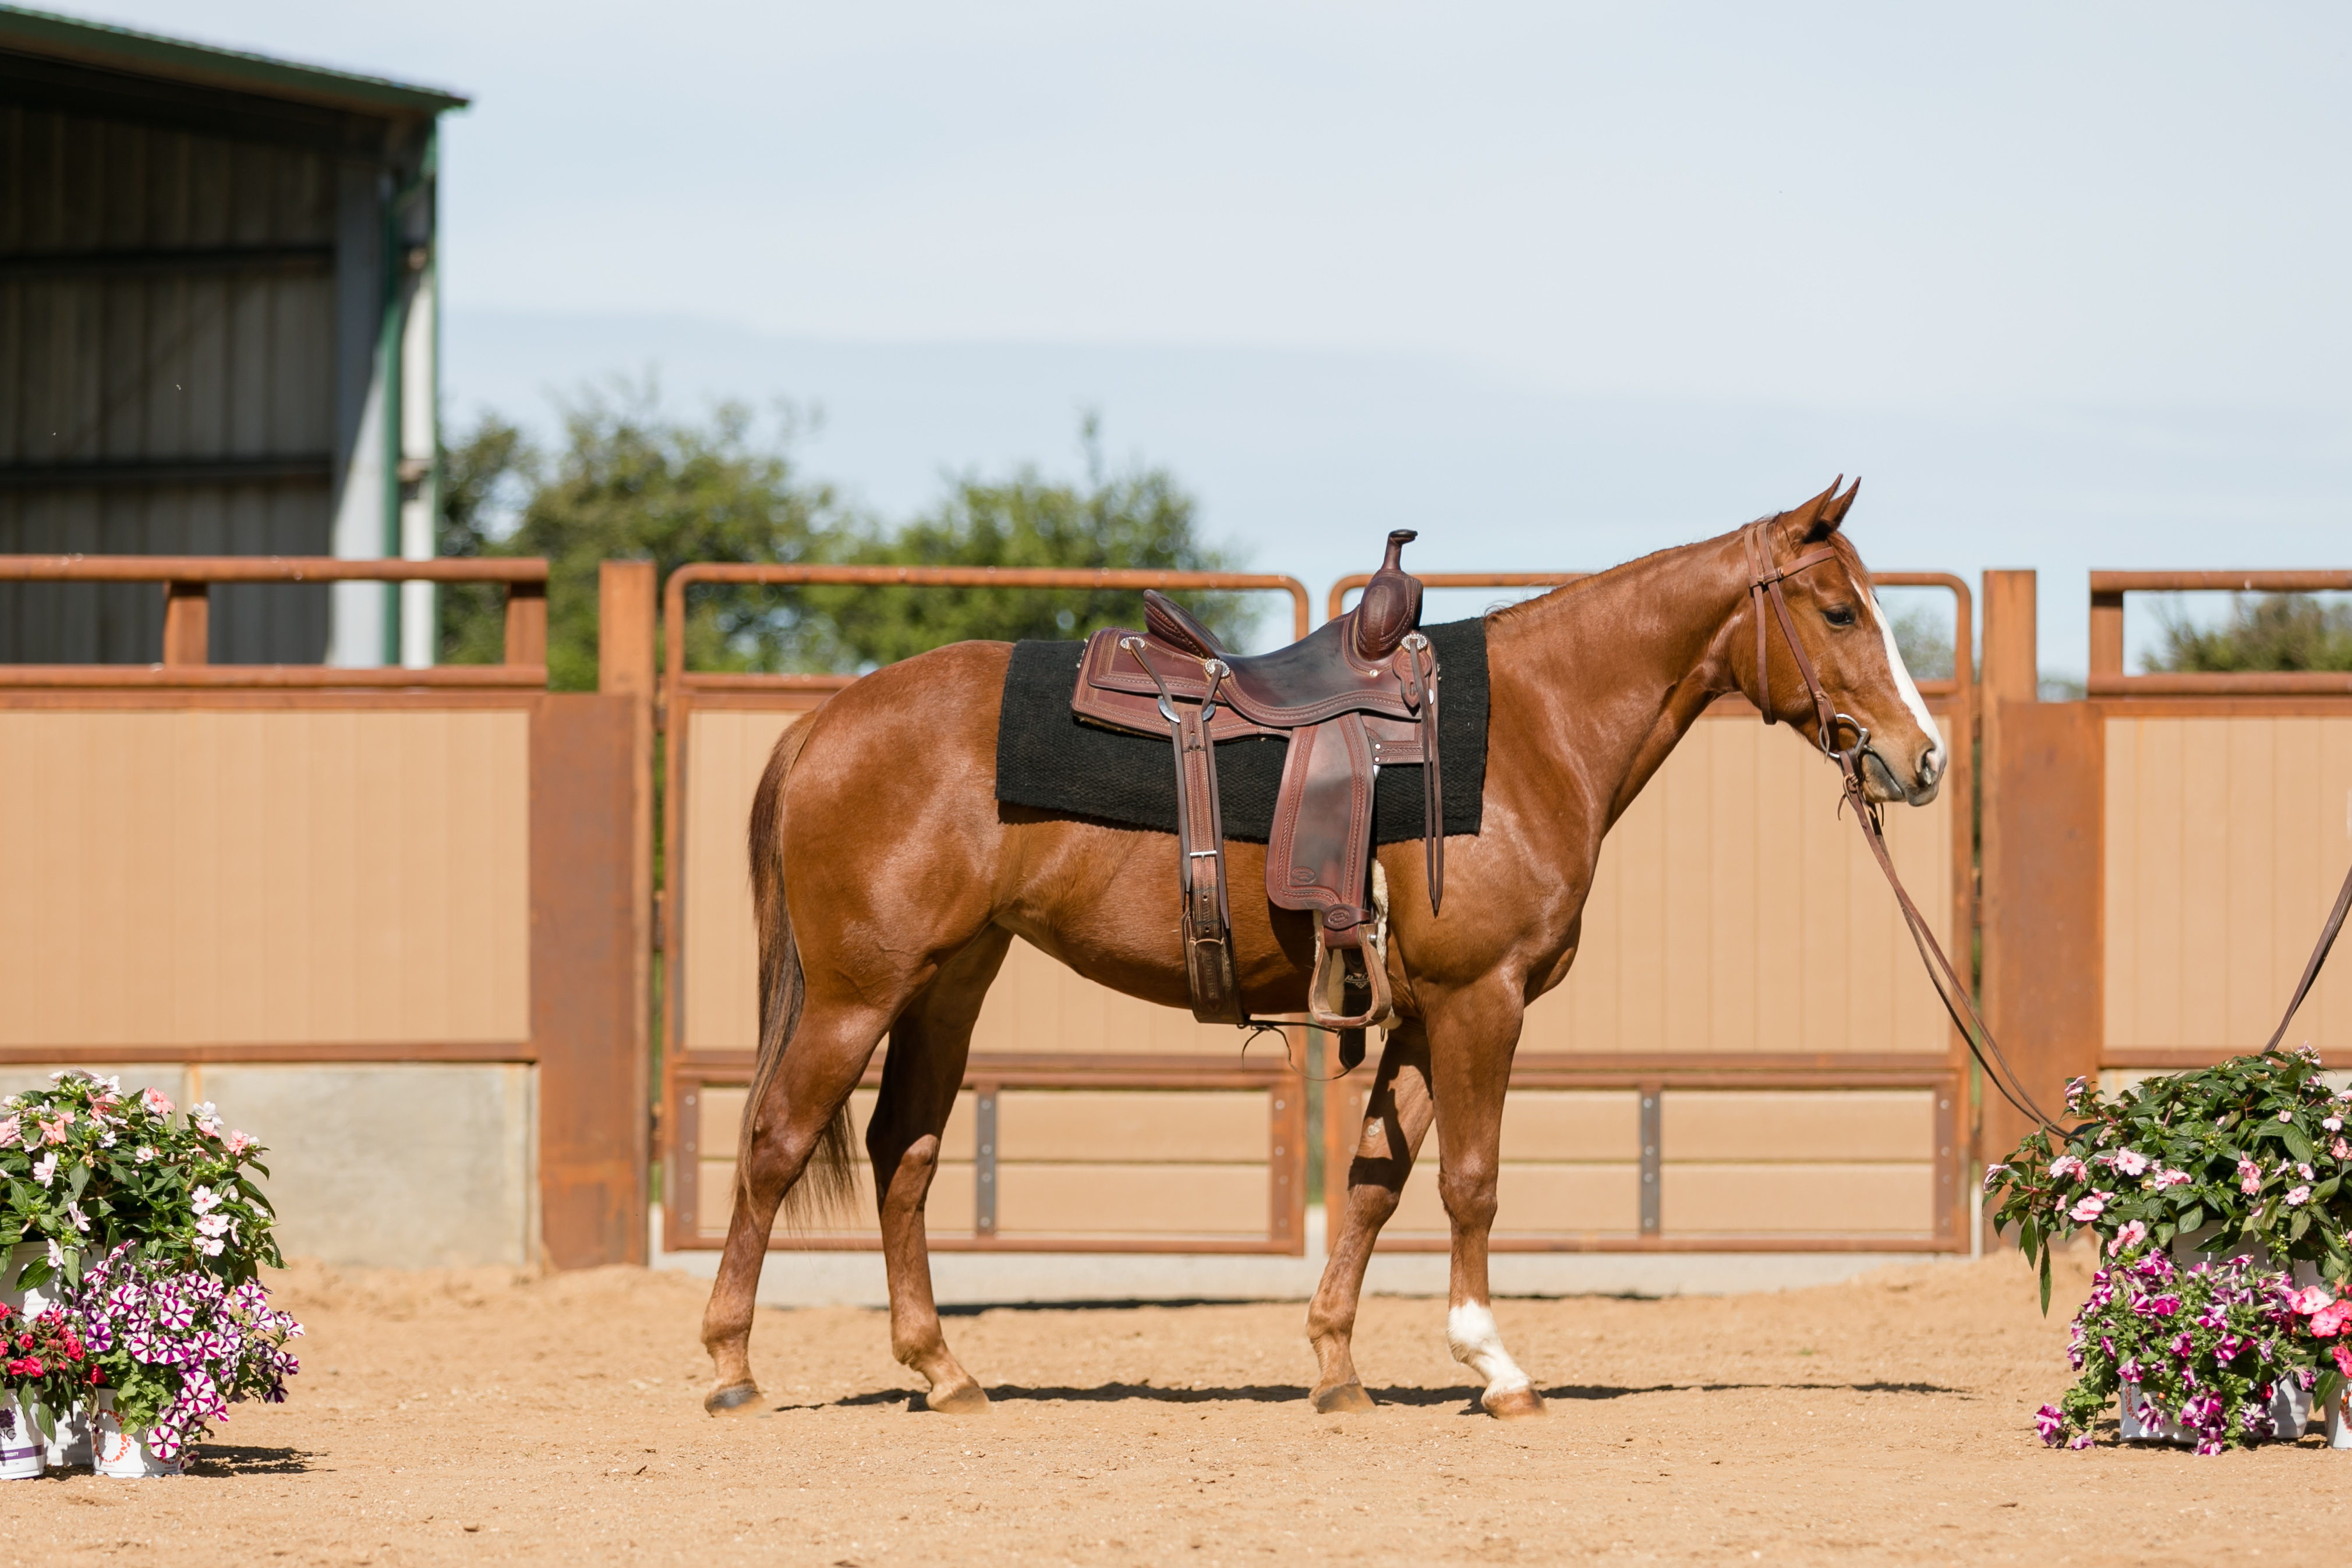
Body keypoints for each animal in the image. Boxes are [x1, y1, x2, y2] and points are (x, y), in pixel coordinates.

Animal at [698, 477, 1946, 1420]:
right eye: (1838, 612)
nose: (1921, 756)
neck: (1532, 729)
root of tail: (826, 719)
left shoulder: (1420, 1012)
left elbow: (1371, 1182)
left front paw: (1337, 1367)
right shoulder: (1480, 998)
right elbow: (1470, 1180)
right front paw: (1494, 1365)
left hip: (946, 983)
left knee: (901, 1152)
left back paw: (944, 1370)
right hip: (856, 992)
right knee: (774, 1141)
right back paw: (731, 1367)